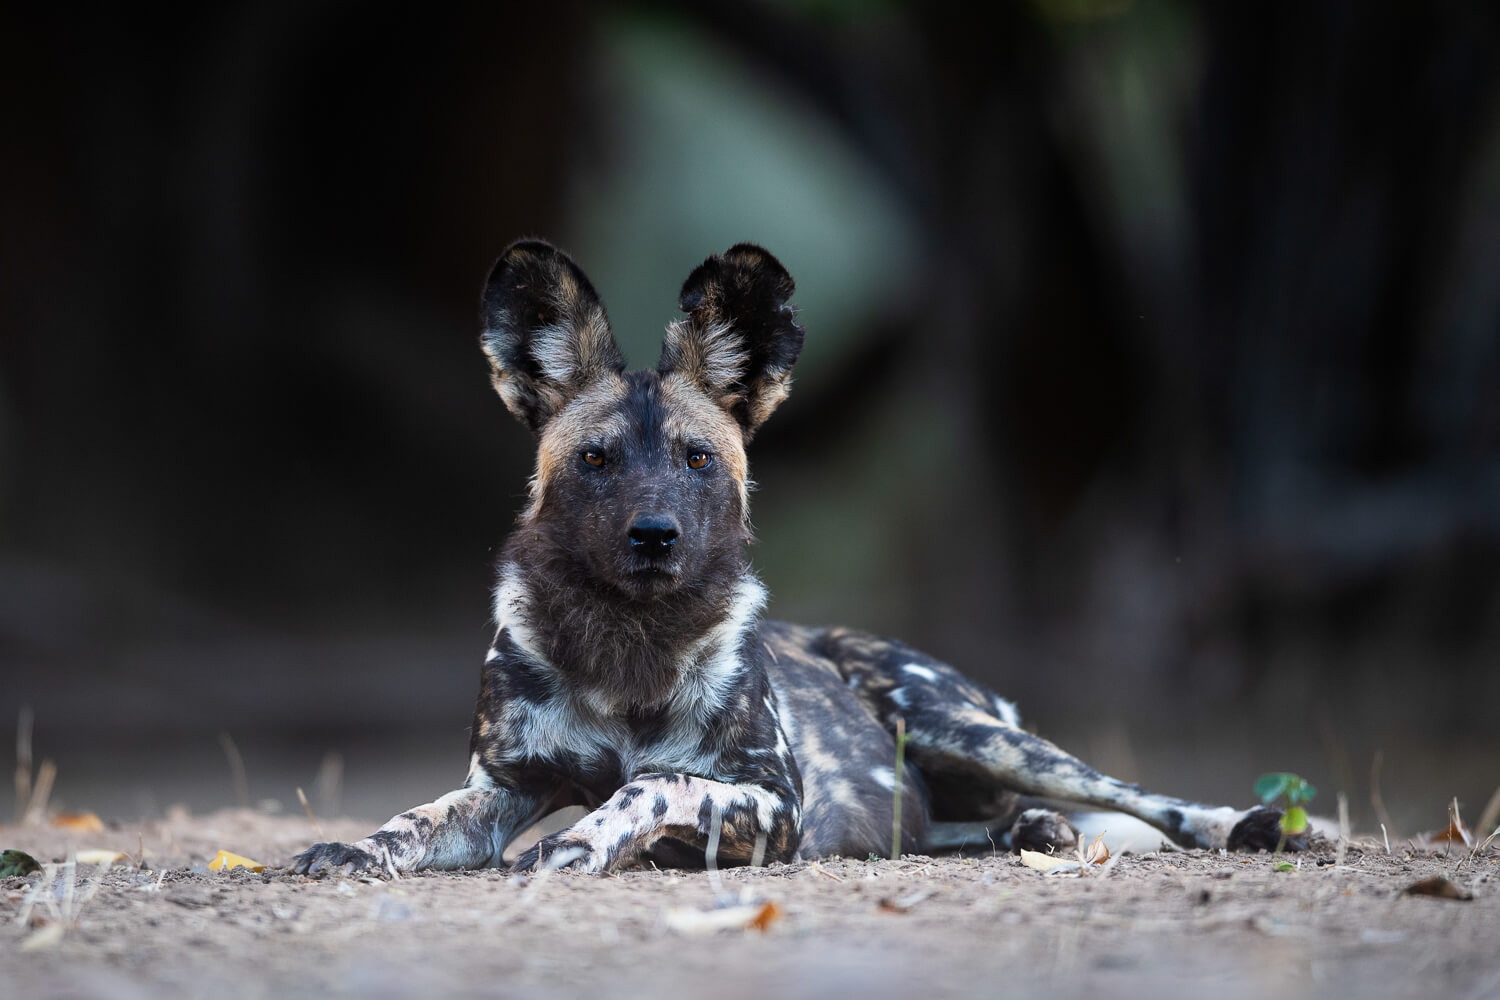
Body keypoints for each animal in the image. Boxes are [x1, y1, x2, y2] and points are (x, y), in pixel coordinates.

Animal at [292, 240, 1300, 876]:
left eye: (698, 459)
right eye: (596, 460)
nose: (653, 534)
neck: (629, 645)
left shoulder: (774, 805)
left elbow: (654, 782)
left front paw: (587, 842)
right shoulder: (501, 789)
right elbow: (416, 816)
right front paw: (353, 848)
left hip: (962, 726)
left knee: (1143, 798)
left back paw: (1244, 824)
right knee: (971, 825)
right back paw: (1035, 833)